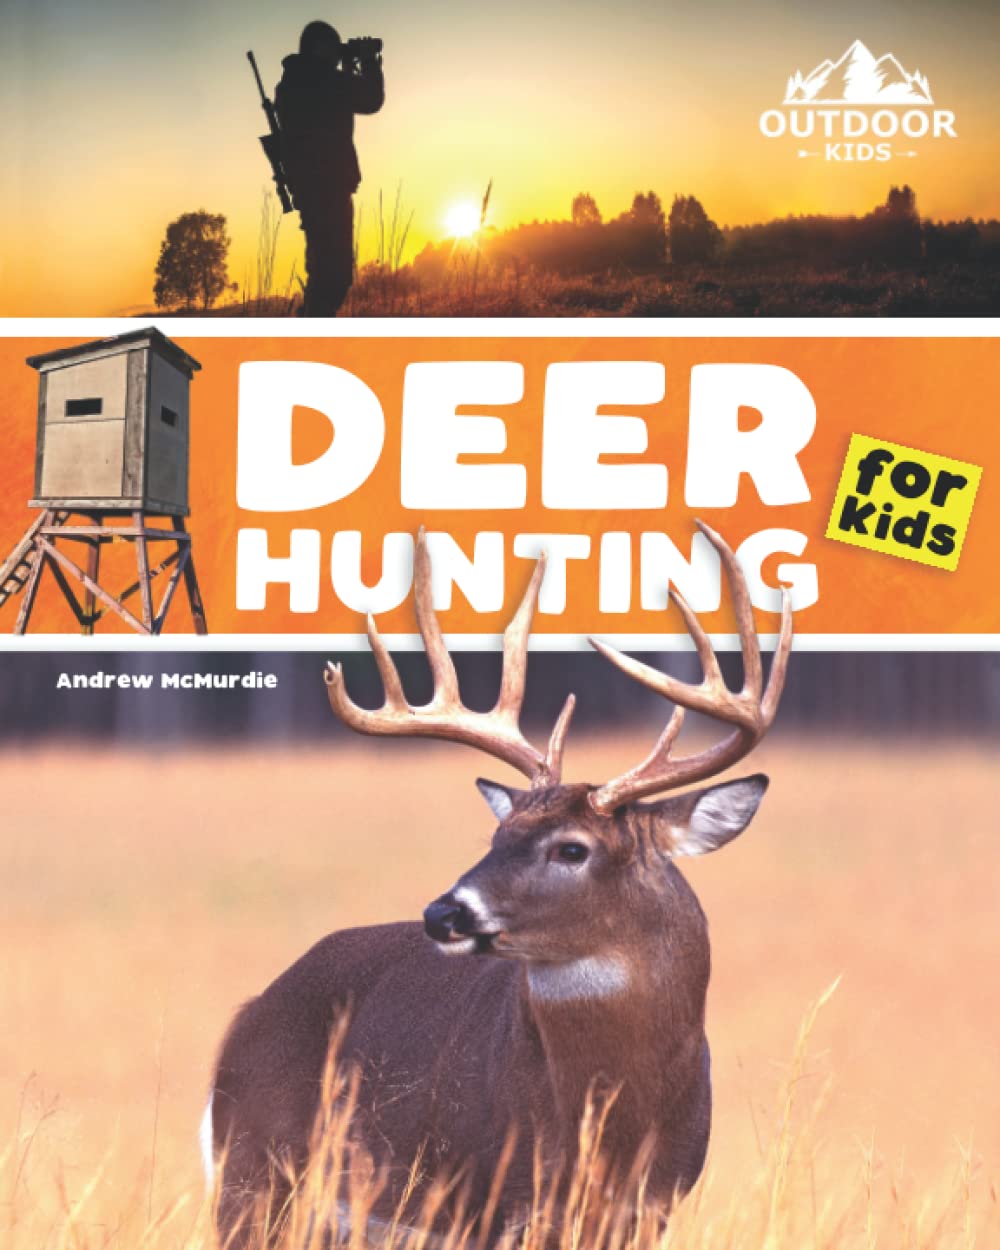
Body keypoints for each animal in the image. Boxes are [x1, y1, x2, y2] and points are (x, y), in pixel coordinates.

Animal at [205, 521, 792, 1248]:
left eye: (572, 848)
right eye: (497, 836)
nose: (442, 913)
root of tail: (248, 1015)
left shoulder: (650, 1208)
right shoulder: (493, 1198)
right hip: (255, 1172)